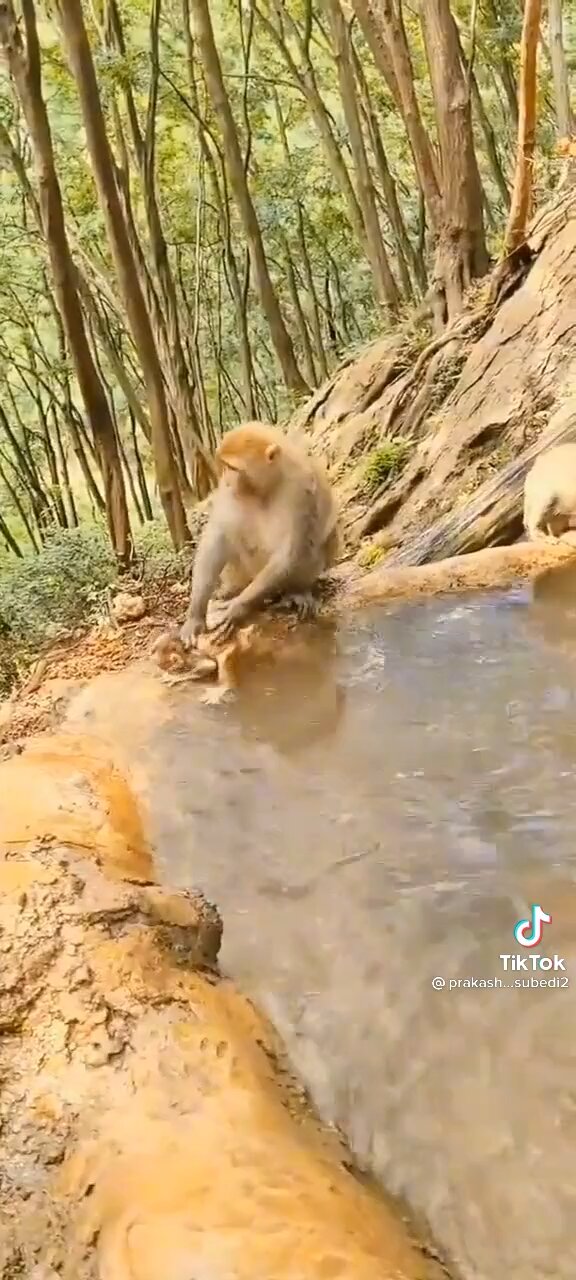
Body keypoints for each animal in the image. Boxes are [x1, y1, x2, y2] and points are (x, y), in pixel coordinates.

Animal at [180, 422, 340, 644]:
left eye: (233, 468)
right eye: (226, 467)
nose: (227, 479)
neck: (268, 483)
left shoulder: (301, 486)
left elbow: (291, 550)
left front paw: (238, 608)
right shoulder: (230, 492)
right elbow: (217, 538)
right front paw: (195, 616)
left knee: (314, 544)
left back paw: (297, 591)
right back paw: (232, 591)